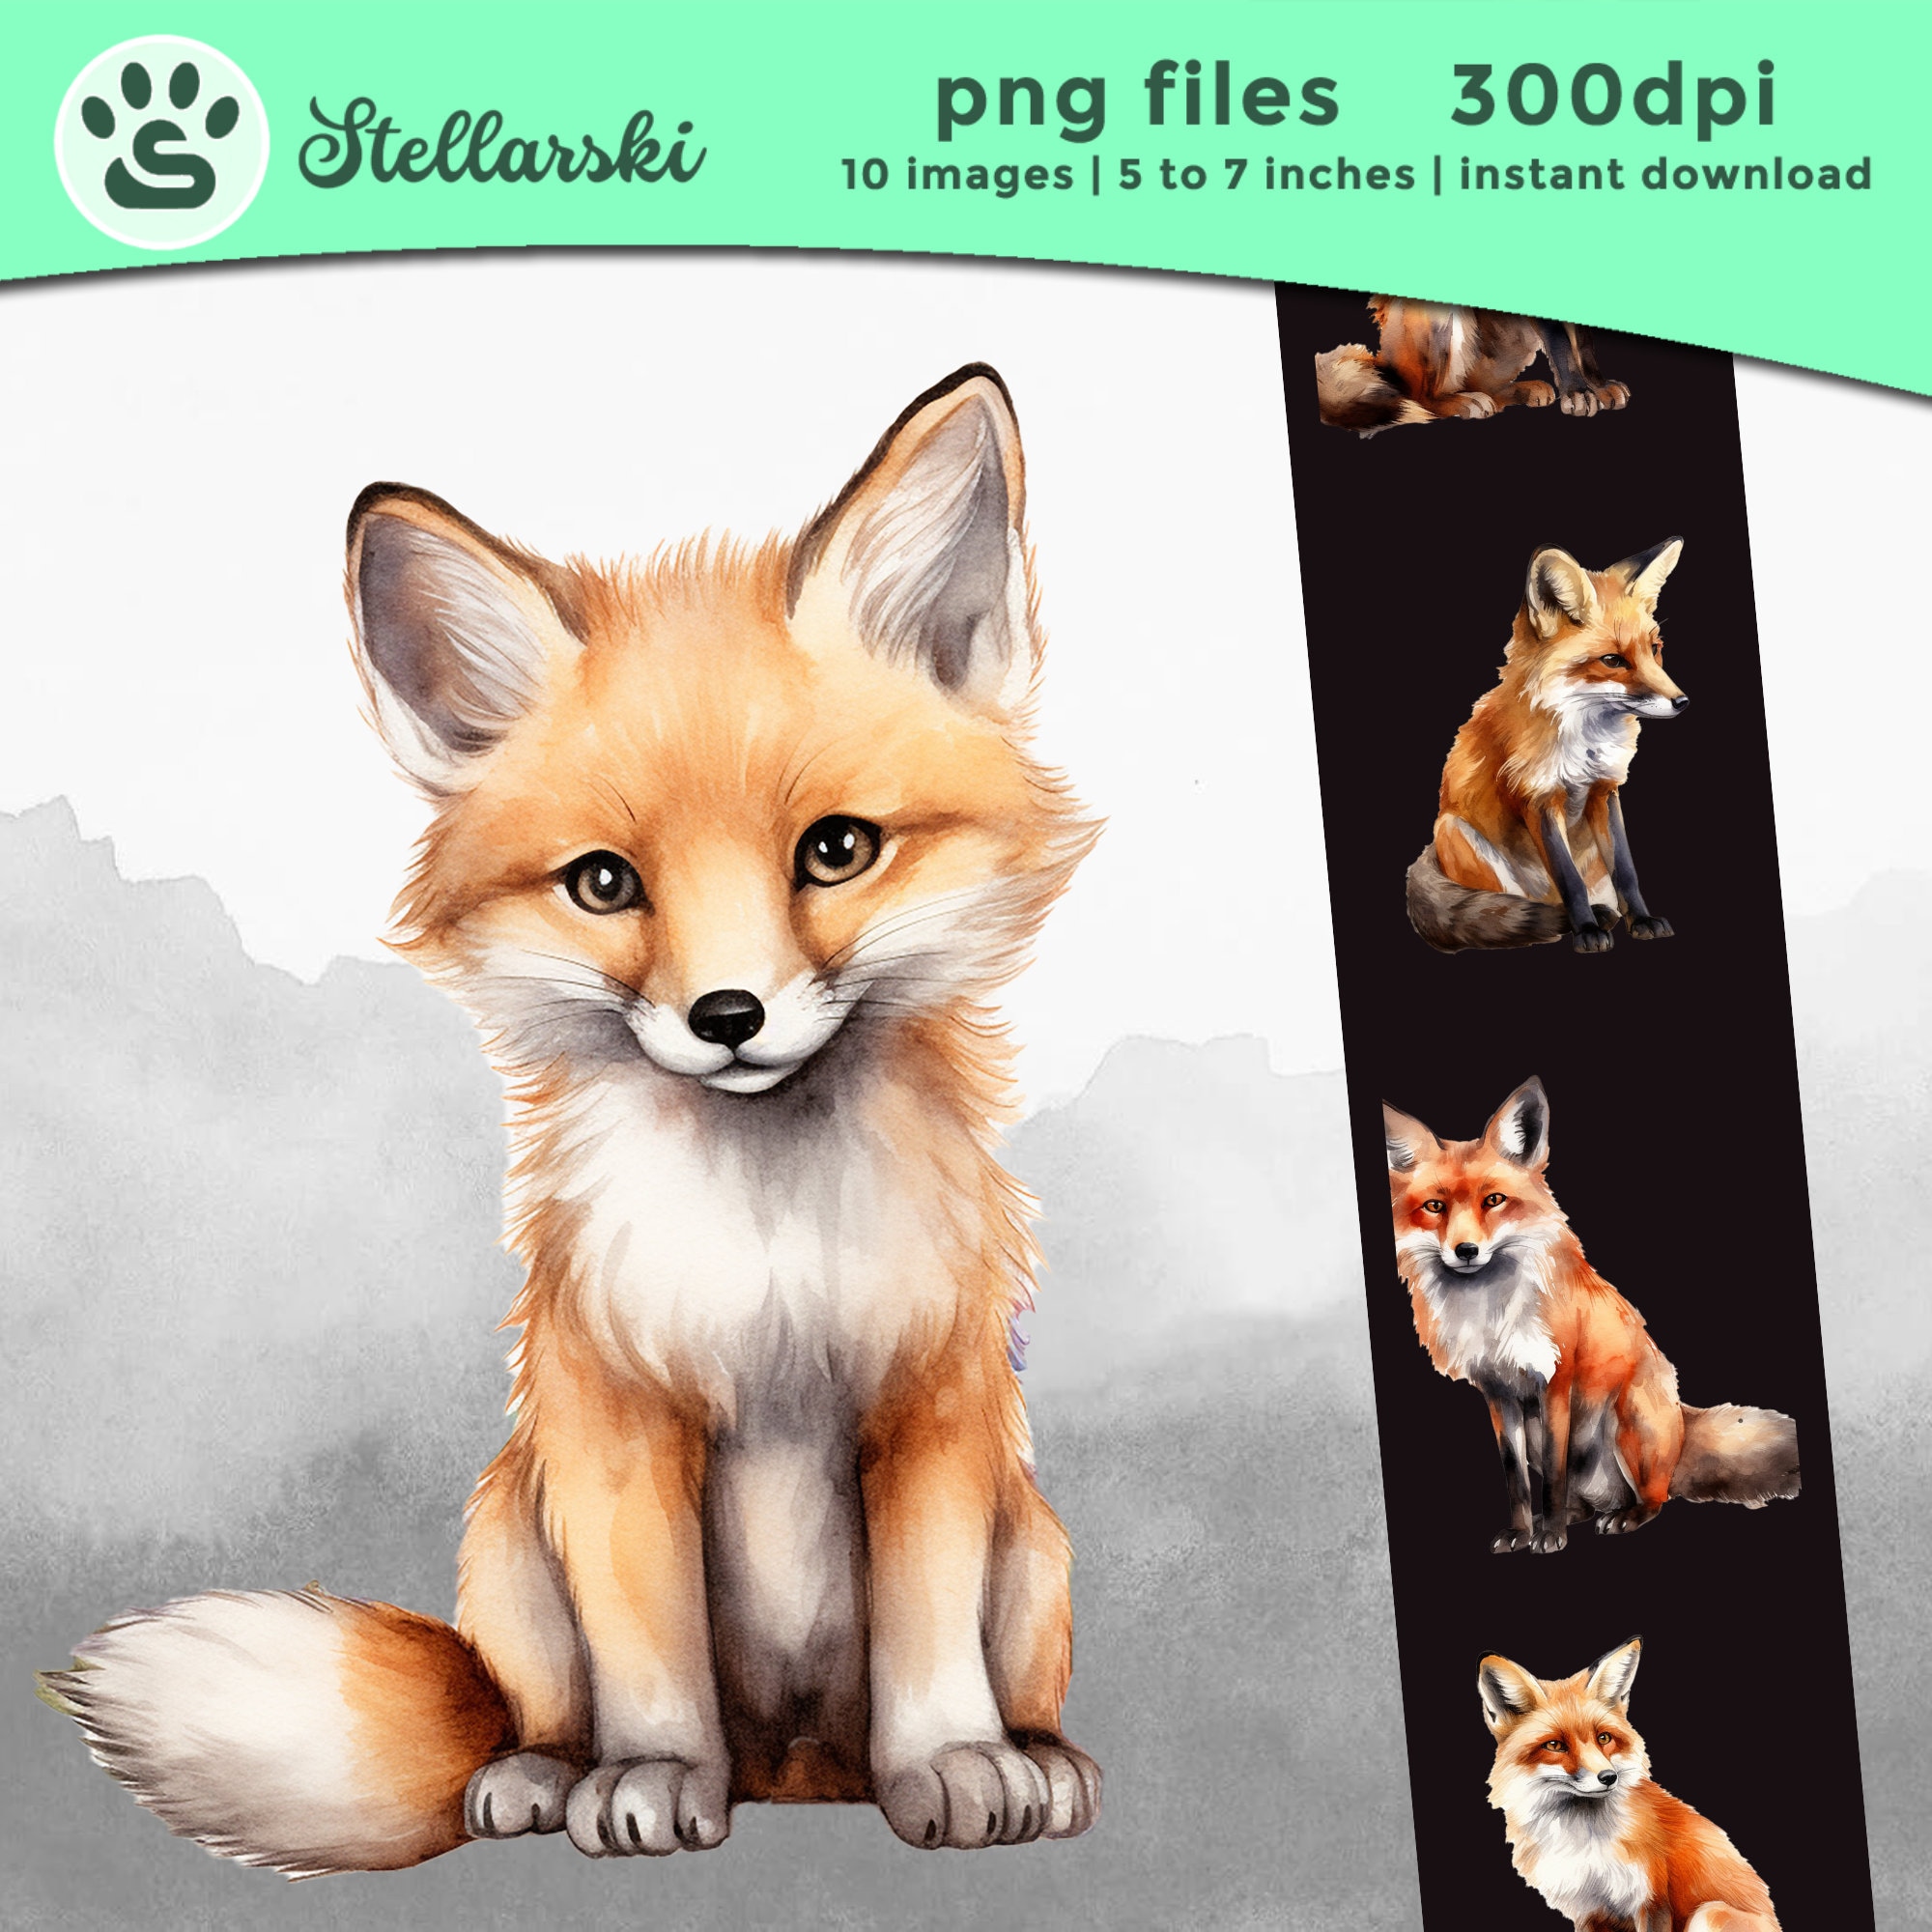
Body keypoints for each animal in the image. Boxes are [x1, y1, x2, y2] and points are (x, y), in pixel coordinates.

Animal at [38, 366, 1106, 1875]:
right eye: (604, 882)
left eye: (835, 850)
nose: (728, 1015)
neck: (768, 1254)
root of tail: (797, 1771)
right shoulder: (615, 1422)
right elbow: (649, 1652)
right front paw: (650, 1774)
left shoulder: (930, 1400)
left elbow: (926, 1643)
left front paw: (954, 1762)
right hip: (510, 1545)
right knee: (540, 1708)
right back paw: (546, 1773)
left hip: (1035, 1548)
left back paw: (1034, 1756)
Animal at [1315, 296, 1631, 438]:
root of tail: (1386, 359)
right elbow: (1562, 347)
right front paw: (1578, 393)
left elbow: (1584, 348)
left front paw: (1600, 387)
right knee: (1421, 398)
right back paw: (1463, 403)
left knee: (1487, 390)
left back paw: (1520, 391)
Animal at [1384, 1077, 1799, 1555]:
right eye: (1435, 1207)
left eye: (1494, 1200)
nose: (1465, 1251)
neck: (1490, 1312)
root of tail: (1682, 1415)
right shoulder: (1498, 1394)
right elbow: (1517, 1481)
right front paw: (1523, 1532)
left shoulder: (1555, 1382)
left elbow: (1554, 1476)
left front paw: (1550, 1538)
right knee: (1581, 1501)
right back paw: (1568, 1517)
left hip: (1626, 1421)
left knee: (1655, 1497)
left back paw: (1622, 1516)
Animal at [1406, 537, 1689, 955]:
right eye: (1612, 660)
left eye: (1654, 649)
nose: (1682, 701)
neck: (1585, 742)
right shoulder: (1538, 797)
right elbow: (1569, 880)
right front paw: (1585, 931)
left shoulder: (1604, 791)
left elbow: (1625, 871)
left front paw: (1641, 920)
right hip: (1456, 831)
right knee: (1517, 904)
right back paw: (1575, 920)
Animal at [1479, 1638, 1781, 1931]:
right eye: (1555, 1745)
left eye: (1603, 1738)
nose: (1608, 1777)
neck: (1585, 1845)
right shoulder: (1588, 1911)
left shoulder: (1652, 1902)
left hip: (1708, 1913)